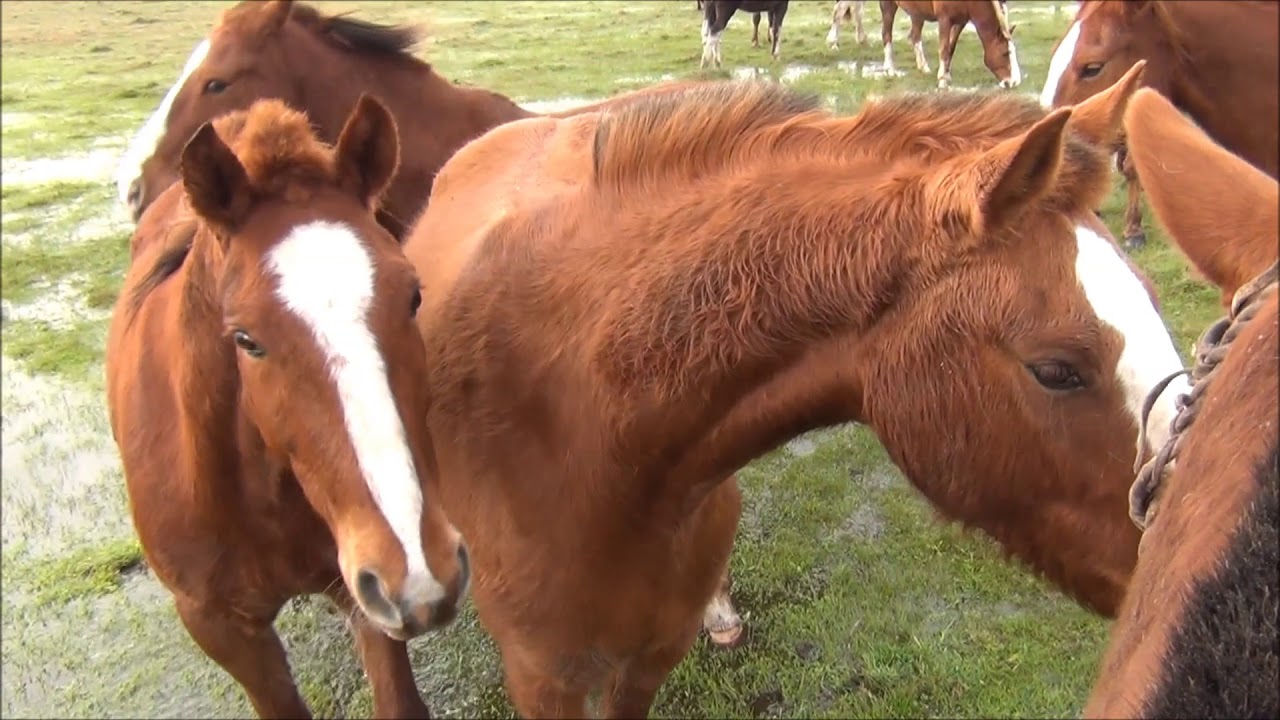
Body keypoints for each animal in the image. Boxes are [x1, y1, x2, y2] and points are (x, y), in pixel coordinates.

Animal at [878, 1, 1022, 89]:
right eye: (1005, 53)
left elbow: (951, 47)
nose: (1015, 81)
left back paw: (923, 67)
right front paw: (942, 80)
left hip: (917, 11)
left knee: (914, 36)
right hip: (888, 5)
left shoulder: (960, 22)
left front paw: (946, 75)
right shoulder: (944, 19)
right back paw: (889, 68)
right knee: (887, 34)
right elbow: (944, 49)